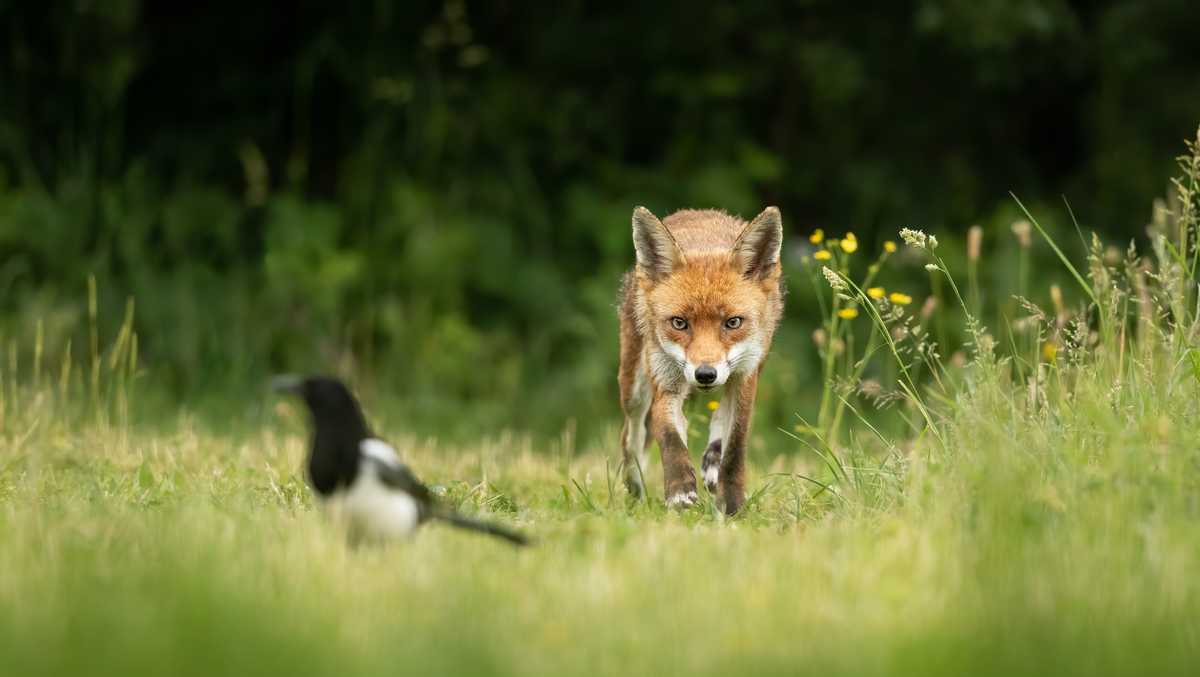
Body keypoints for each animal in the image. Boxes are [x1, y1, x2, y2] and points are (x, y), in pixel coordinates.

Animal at [618, 206, 784, 514]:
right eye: (679, 323)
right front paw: (679, 491)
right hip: (633, 389)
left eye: (733, 322)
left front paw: (731, 502)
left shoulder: (745, 375)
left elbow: (736, 443)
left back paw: (712, 463)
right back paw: (635, 485)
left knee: (719, 418)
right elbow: (669, 435)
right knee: (631, 435)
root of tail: (696, 211)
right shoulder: (666, 380)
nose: (705, 374)